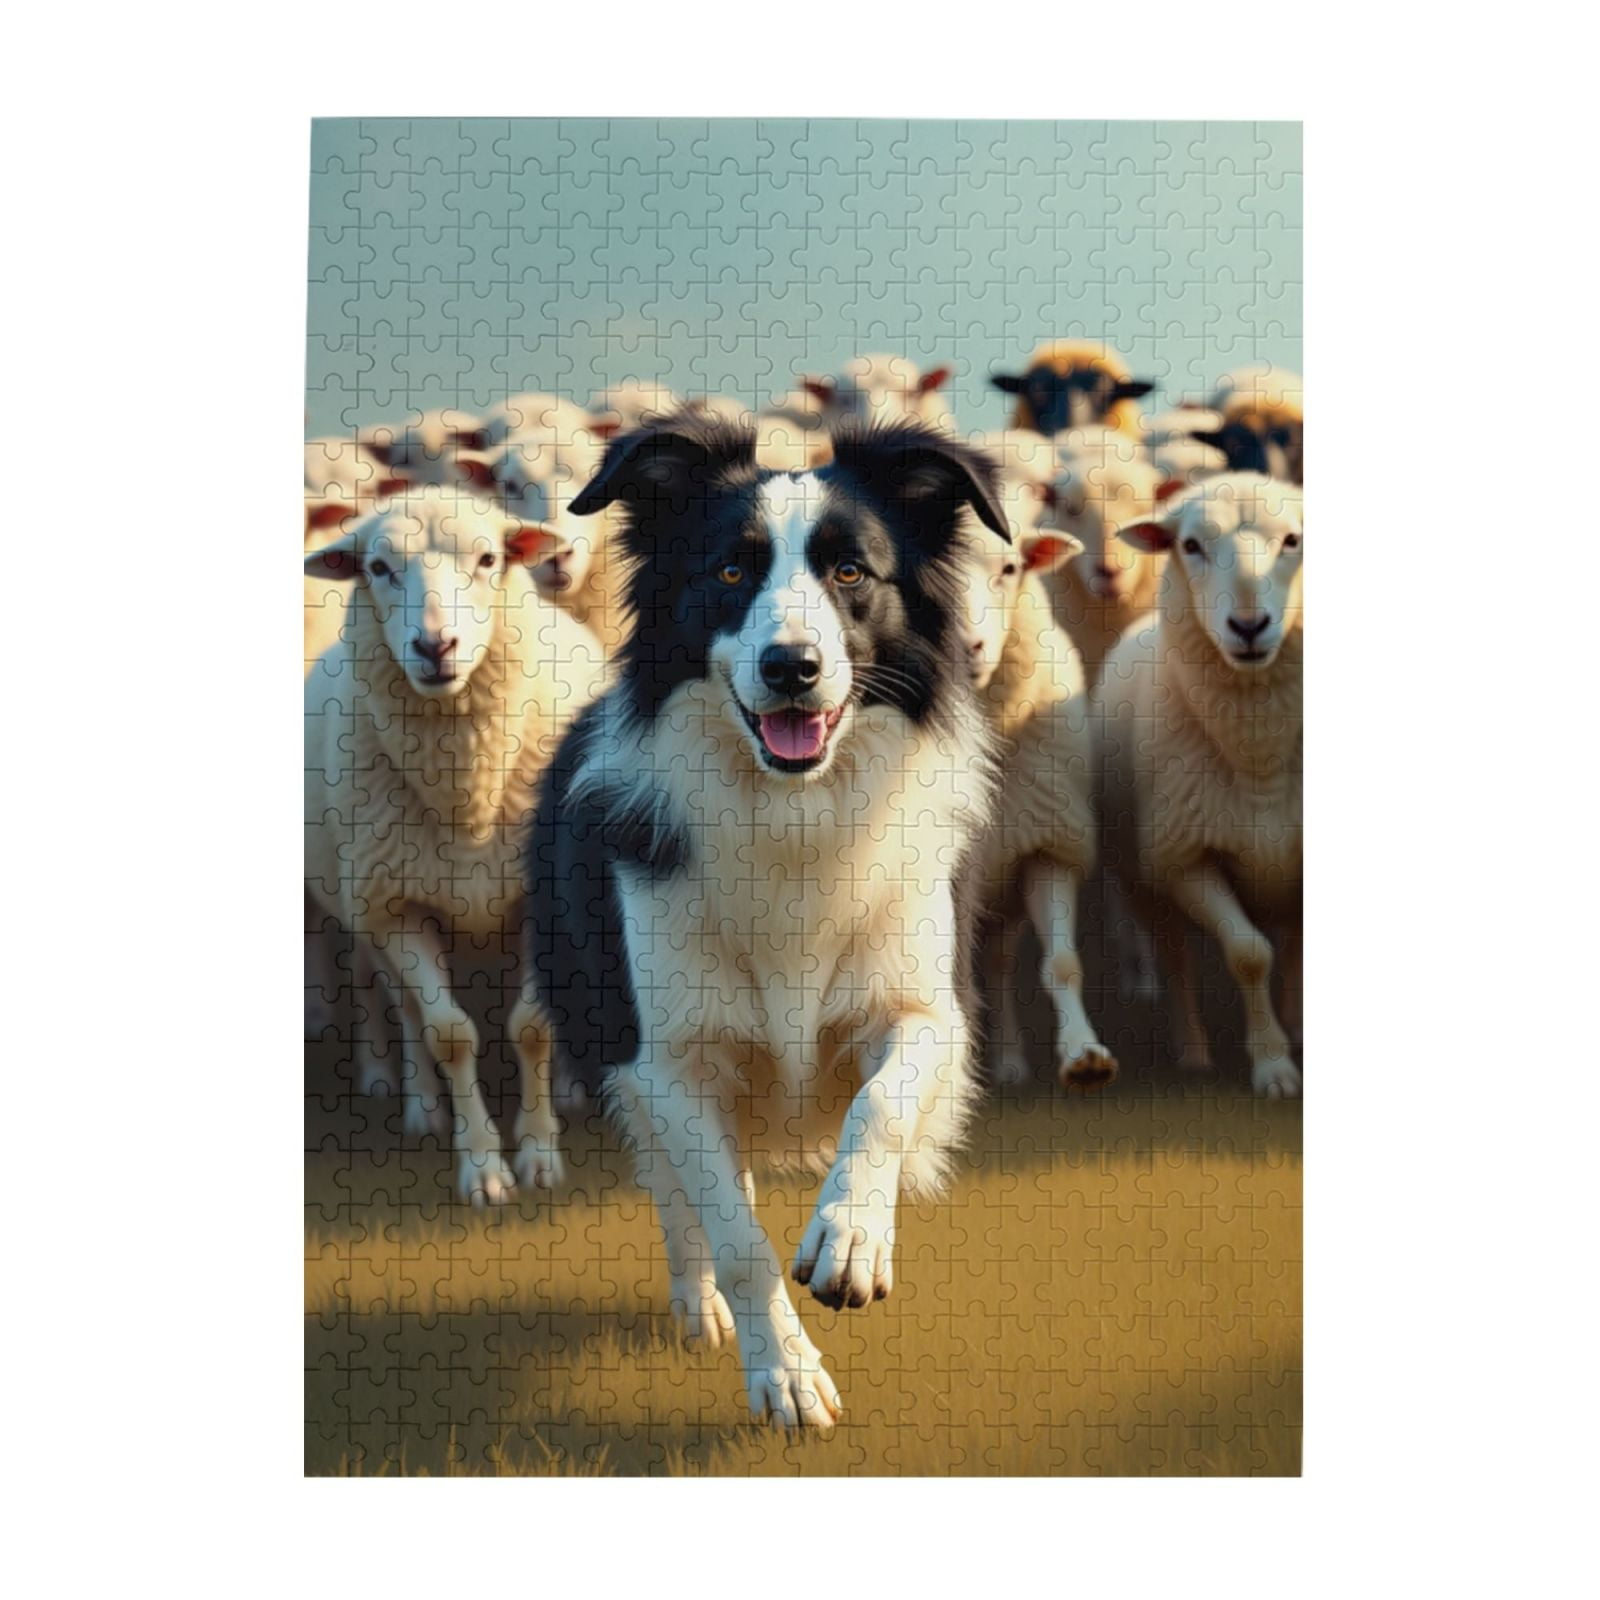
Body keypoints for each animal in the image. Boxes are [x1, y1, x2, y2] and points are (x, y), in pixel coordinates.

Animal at [304, 487, 609, 1202]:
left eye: (490, 558)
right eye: (377, 568)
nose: (434, 644)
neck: (467, 796)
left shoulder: (536, 897)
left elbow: (531, 1027)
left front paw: (539, 1149)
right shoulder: (397, 907)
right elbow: (449, 1035)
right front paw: (483, 1165)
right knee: (396, 1004)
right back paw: (413, 1096)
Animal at [1095, 473, 1304, 1097]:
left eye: (1293, 539)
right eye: (1190, 546)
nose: (1249, 626)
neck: (1260, 762)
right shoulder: (1186, 859)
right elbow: (1249, 954)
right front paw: (1273, 1064)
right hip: (1143, 880)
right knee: (1175, 958)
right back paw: (1191, 1050)